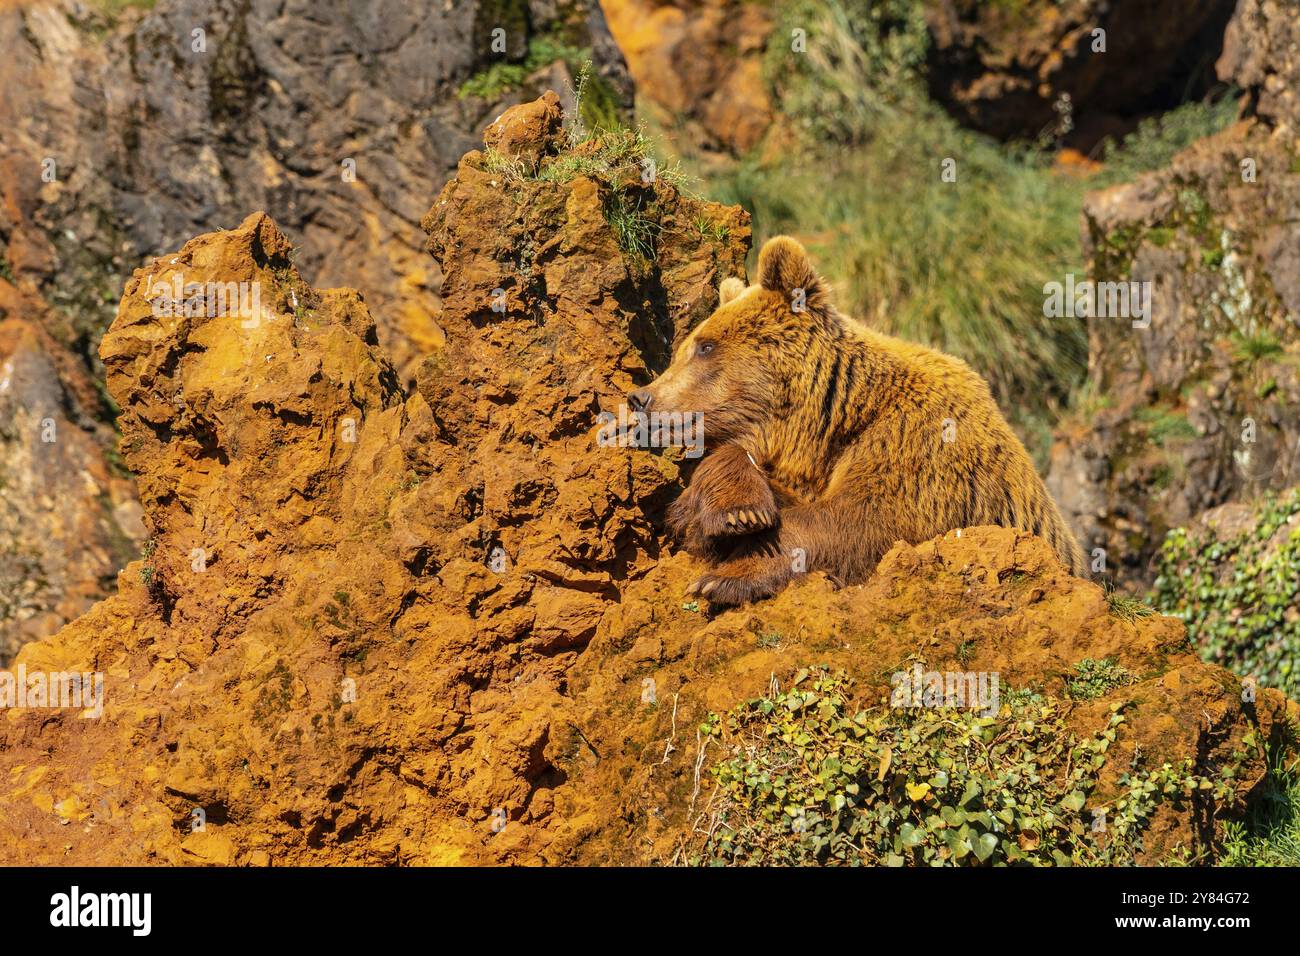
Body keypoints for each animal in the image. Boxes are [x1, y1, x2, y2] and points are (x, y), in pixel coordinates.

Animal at [628, 235, 1087, 605]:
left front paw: (725, 574)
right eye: (685, 348)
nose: (640, 398)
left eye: (705, 347)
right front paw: (734, 513)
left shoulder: (921, 445)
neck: (837, 418)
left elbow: (862, 525)